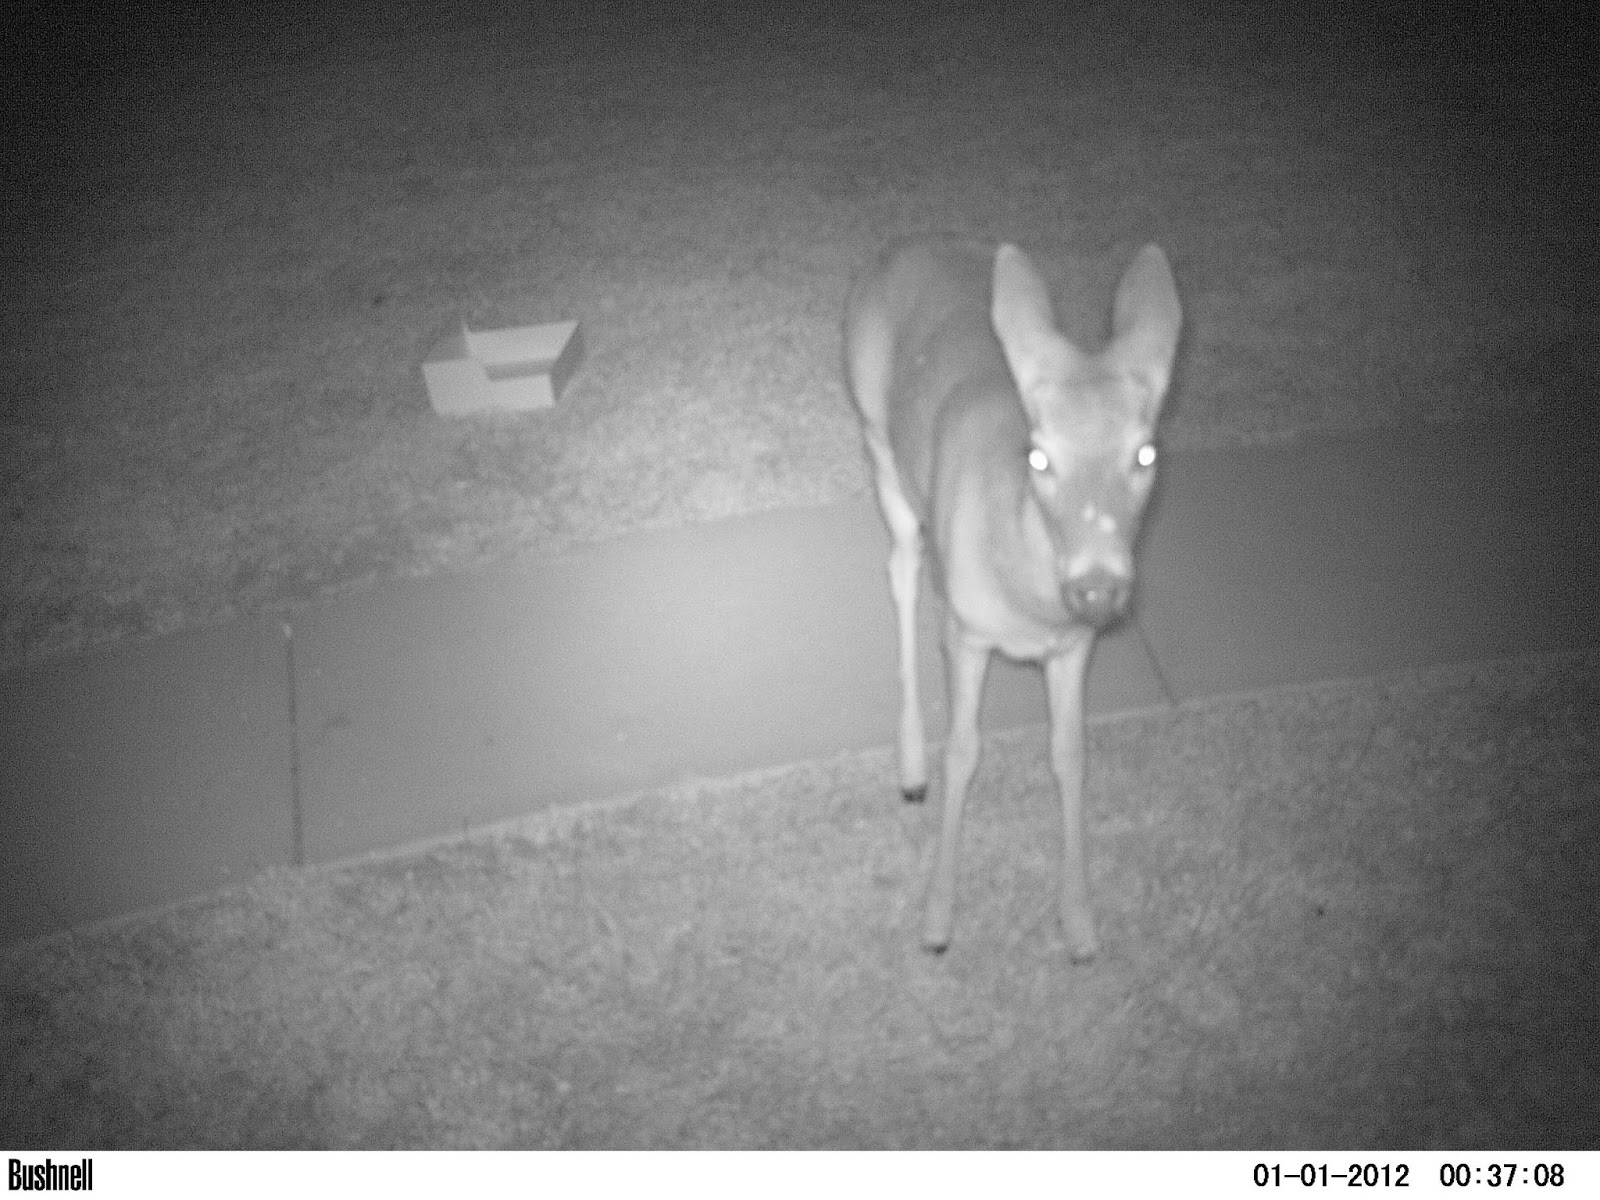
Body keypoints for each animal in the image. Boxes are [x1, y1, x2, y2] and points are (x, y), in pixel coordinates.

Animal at [843, 235, 1181, 956]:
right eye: (1039, 457)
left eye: (1145, 454)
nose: (1096, 587)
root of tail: (895, 249)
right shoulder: (967, 634)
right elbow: (963, 752)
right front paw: (937, 919)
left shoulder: (1075, 647)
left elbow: (1070, 754)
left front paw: (1079, 921)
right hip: (875, 435)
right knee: (901, 568)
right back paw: (909, 765)